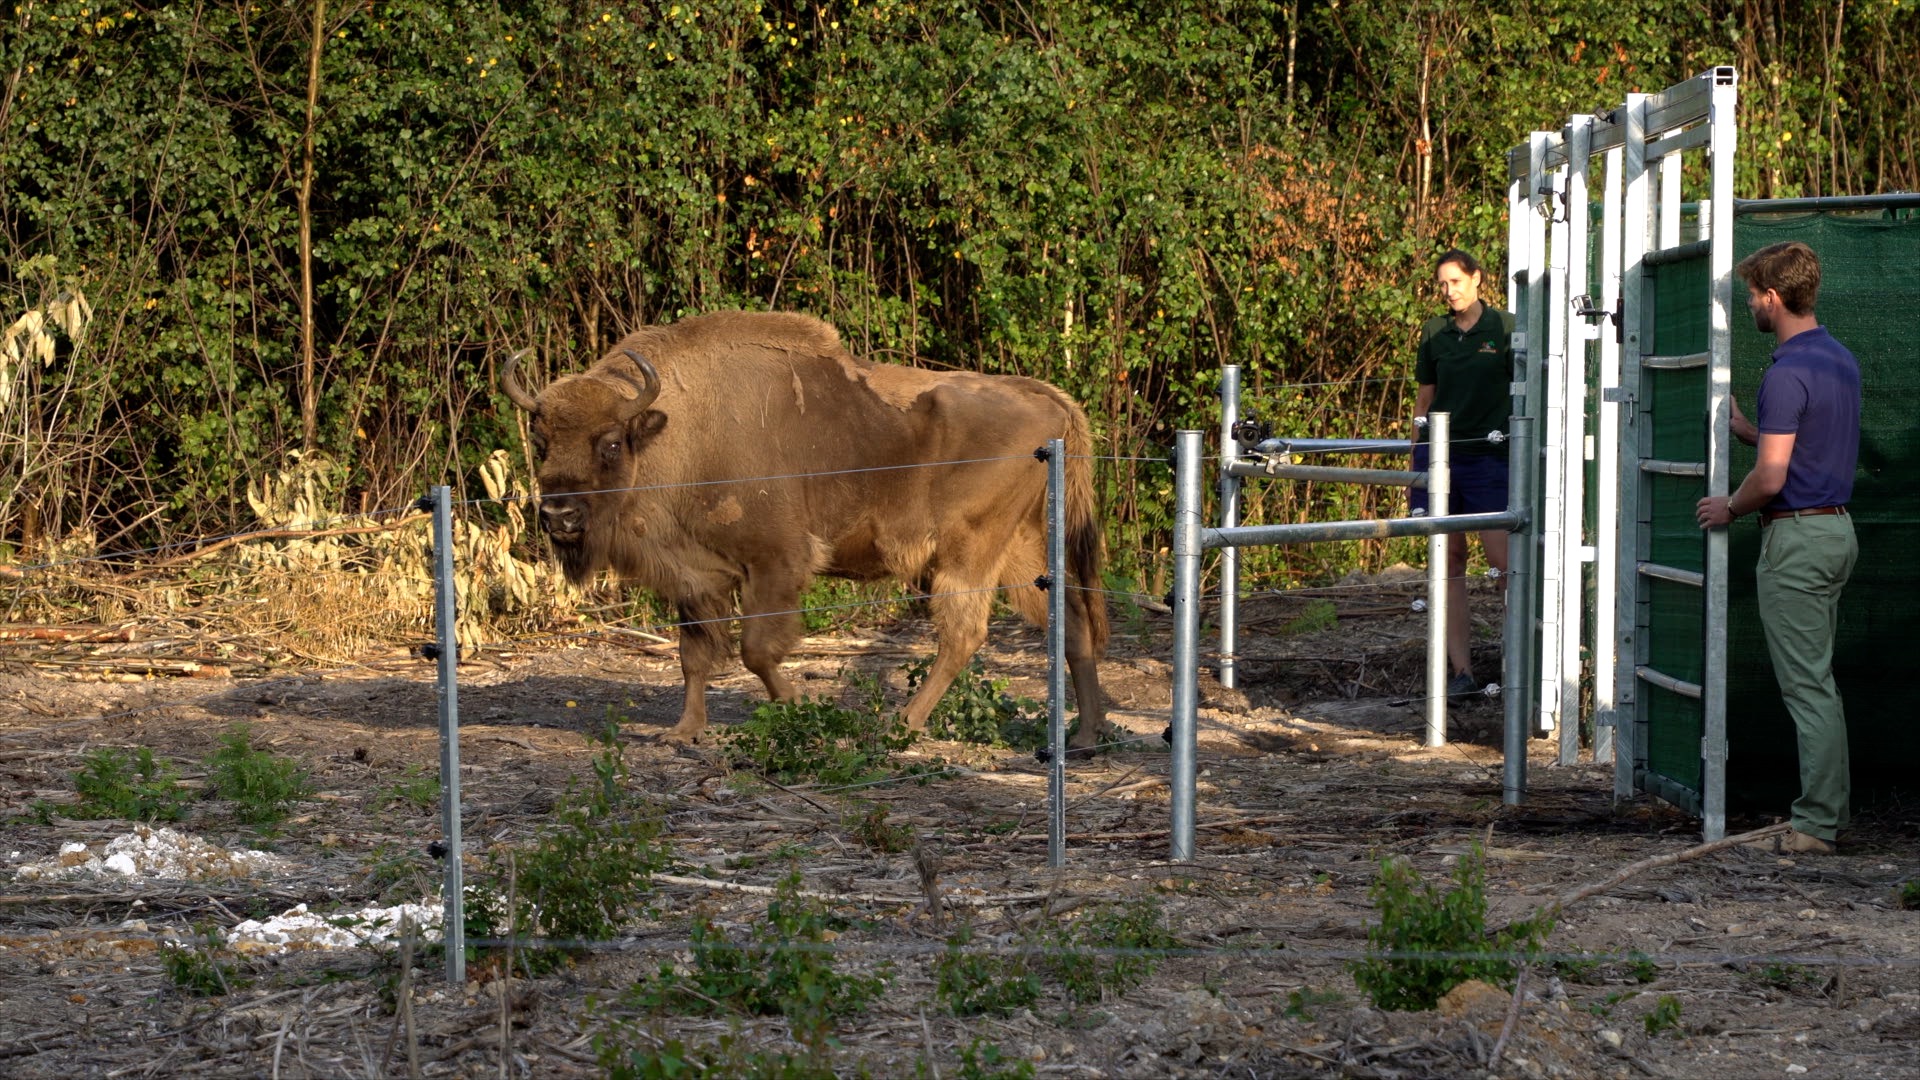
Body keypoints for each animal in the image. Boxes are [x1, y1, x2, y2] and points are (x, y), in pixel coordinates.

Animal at [500, 310, 1111, 750]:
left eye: (608, 443)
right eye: (542, 442)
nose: (559, 516)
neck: (675, 431)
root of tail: (1048, 400)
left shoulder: (777, 563)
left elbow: (756, 650)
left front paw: (794, 705)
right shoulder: (694, 579)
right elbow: (693, 655)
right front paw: (683, 731)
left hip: (969, 550)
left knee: (964, 632)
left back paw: (902, 724)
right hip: (1020, 551)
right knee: (1070, 621)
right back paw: (1085, 735)